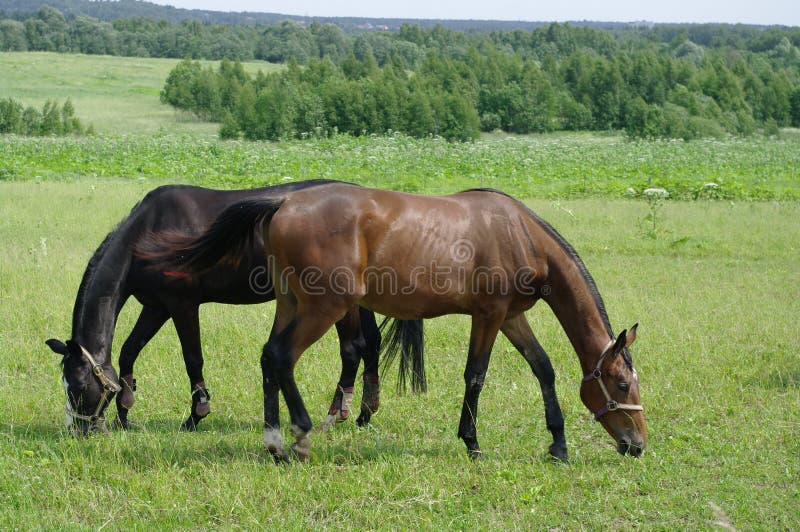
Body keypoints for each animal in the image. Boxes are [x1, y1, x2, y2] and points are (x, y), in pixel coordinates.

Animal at [46, 180, 424, 436]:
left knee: (352, 348)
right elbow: (128, 350)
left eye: (77, 386)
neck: (147, 234)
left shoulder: (182, 306)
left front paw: (196, 415)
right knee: (371, 344)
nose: (80, 430)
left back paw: (340, 413)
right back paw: (364, 413)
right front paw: (125, 411)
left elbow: (192, 358)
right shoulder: (155, 307)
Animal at [151, 182, 645, 462]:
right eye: (622, 385)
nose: (638, 445)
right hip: (323, 308)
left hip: (291, 304)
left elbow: (543, 368)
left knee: (268, 359)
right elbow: (476, 376)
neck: (518, 232)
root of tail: (282, 203)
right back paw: (300, 437)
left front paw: (558, 444)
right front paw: (472, 443)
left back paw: (275, 440)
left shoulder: (511, 317)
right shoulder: (488, 315)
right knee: (281, 356)